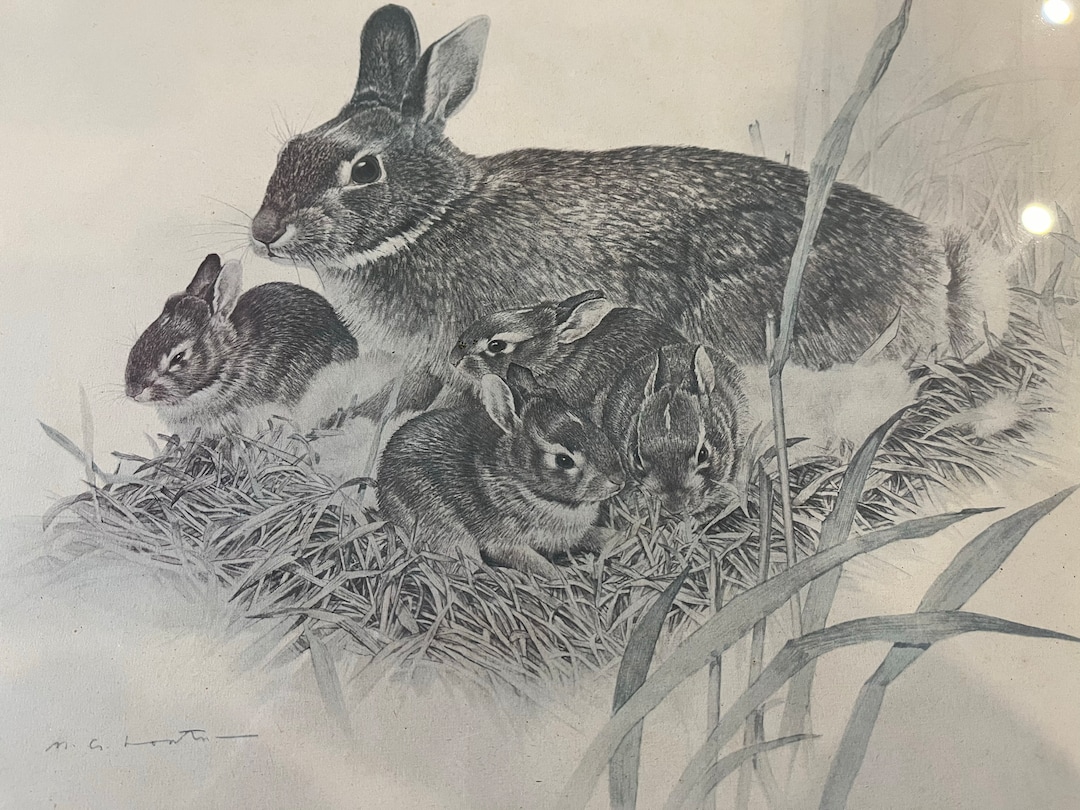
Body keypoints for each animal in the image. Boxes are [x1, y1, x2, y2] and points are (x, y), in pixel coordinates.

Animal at [376, 364, 625, 578]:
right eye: (564, 460)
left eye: (595, 428)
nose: (618, 480)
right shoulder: (504, 541)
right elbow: (536, 563)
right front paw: (564, 576)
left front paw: (620, 538)